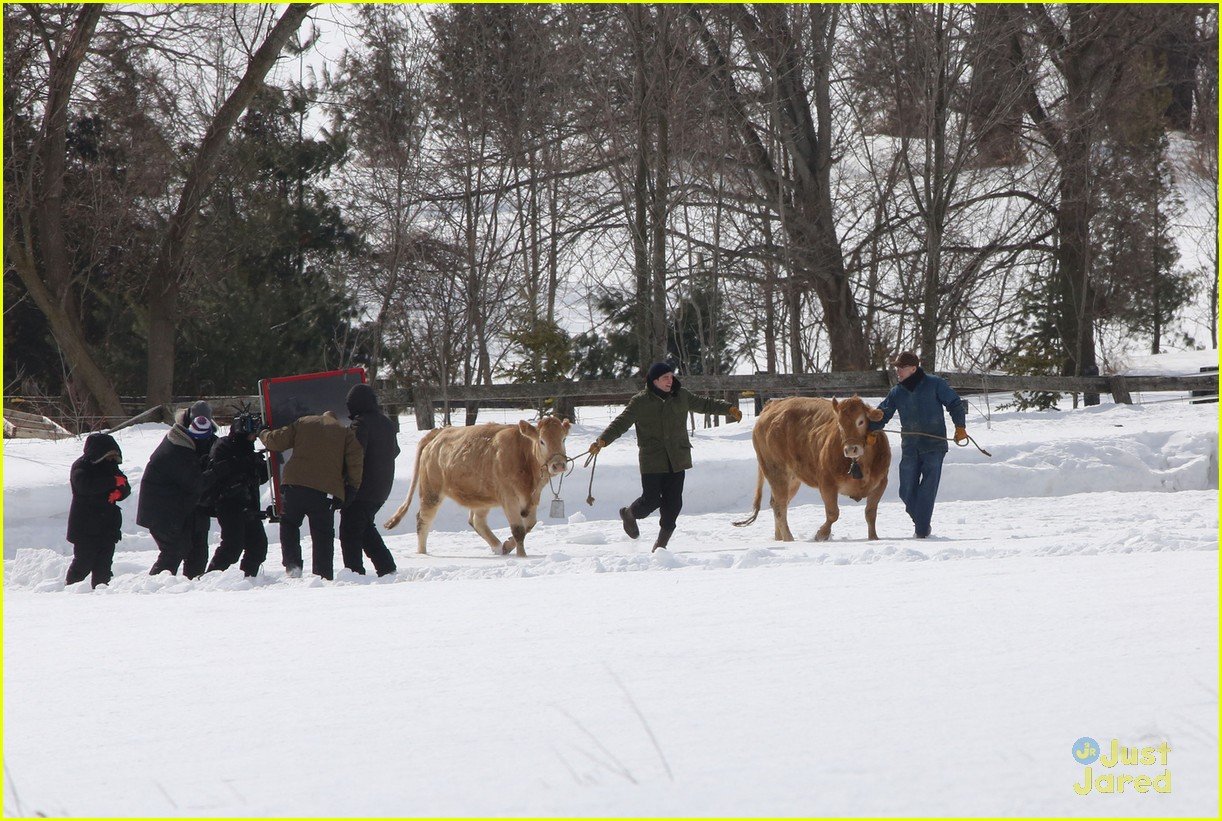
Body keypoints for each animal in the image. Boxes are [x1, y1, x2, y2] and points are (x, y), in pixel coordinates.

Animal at [383, 416, 571, 557]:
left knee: (477, 521)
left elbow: (529, 525)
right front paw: (522, 556)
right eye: (542, 441)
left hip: (481, 497)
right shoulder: (509, 497)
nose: (559, 465)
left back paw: (499, 547)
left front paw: (509, 545)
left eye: (563, 439)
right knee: (423, 520)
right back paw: (423, 554)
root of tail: (439, 432)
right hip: (431, 491)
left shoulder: (532, 499)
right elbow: (518, 530)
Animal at [734, 396, 891, 541]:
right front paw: (821, 534)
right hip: (775, 470)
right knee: (779, 506)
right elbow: (833, 513)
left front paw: (873, 538)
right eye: (839, 424)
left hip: (792, 479)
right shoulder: (827, 483)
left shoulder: (881, 483)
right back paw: (789, 538)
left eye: (861, 421)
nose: (851, 449)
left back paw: (779, 538)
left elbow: (870, 512)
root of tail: (773, 405)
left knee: (776, 503)